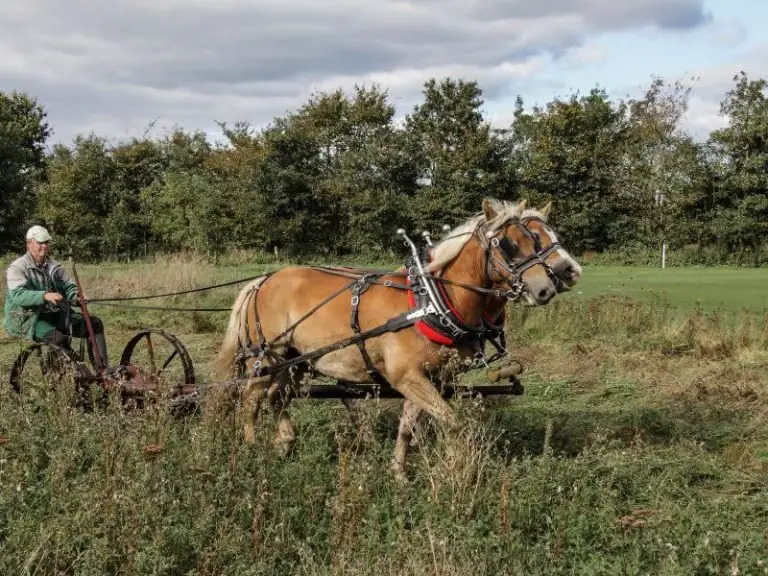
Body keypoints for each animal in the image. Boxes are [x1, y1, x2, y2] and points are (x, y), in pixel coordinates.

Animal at [215, 198, 559, 475]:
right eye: (507, 244)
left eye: (534, 241)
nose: (546, 288)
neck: (430, 300)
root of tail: (263, 280)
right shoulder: (406, 375)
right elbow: (451, 421)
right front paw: (455, 468)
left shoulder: (428, 378)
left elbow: (408, 426)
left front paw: (399, 472)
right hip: (265, 356)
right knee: (252, 399)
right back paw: (252, 449)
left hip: (294, 359)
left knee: (277, 396)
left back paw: (285, 440)